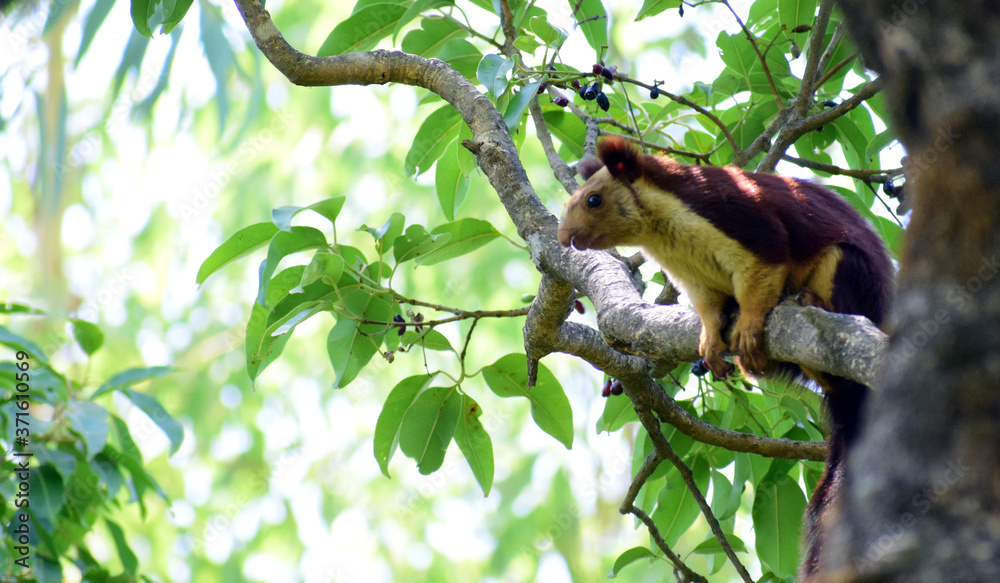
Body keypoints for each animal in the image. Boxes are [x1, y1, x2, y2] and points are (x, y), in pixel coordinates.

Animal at [557, 135, 893, 580]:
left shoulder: (744, 224)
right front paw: (709, 341)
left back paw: (809, 303)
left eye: (593, 200)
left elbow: (761, 276)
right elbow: (708, 308)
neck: (662, 232)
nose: (563, 237)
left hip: (846, 271)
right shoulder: (696, 281)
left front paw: (748, 326)